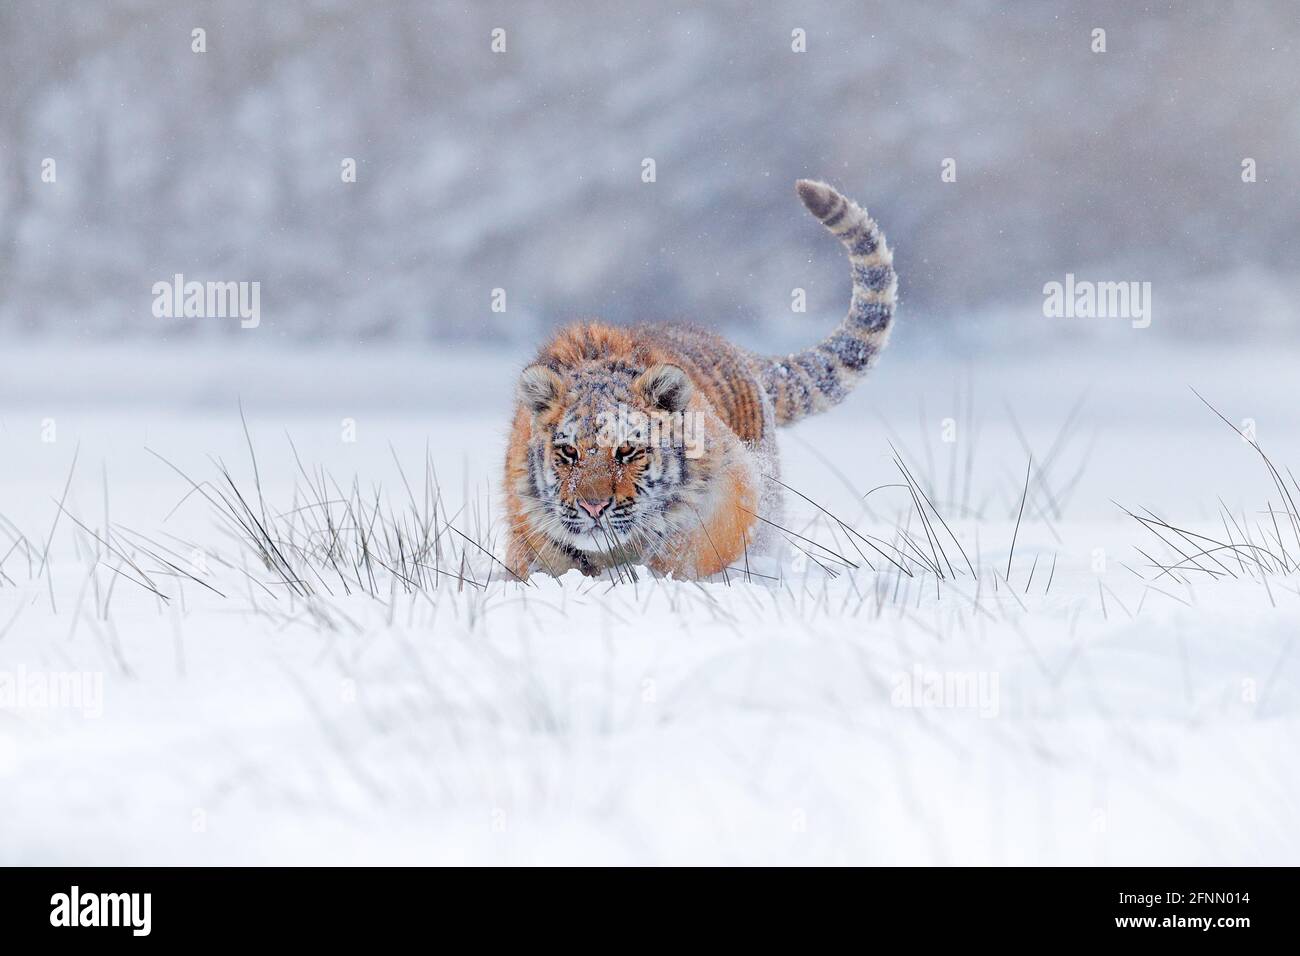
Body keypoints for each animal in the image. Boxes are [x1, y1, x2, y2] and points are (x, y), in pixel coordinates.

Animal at [503, 179, 897, 581]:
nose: (593, 507)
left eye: (627, 450)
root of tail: (738, 350)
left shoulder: (732, 490)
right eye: (568, 452)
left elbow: (687, 549)